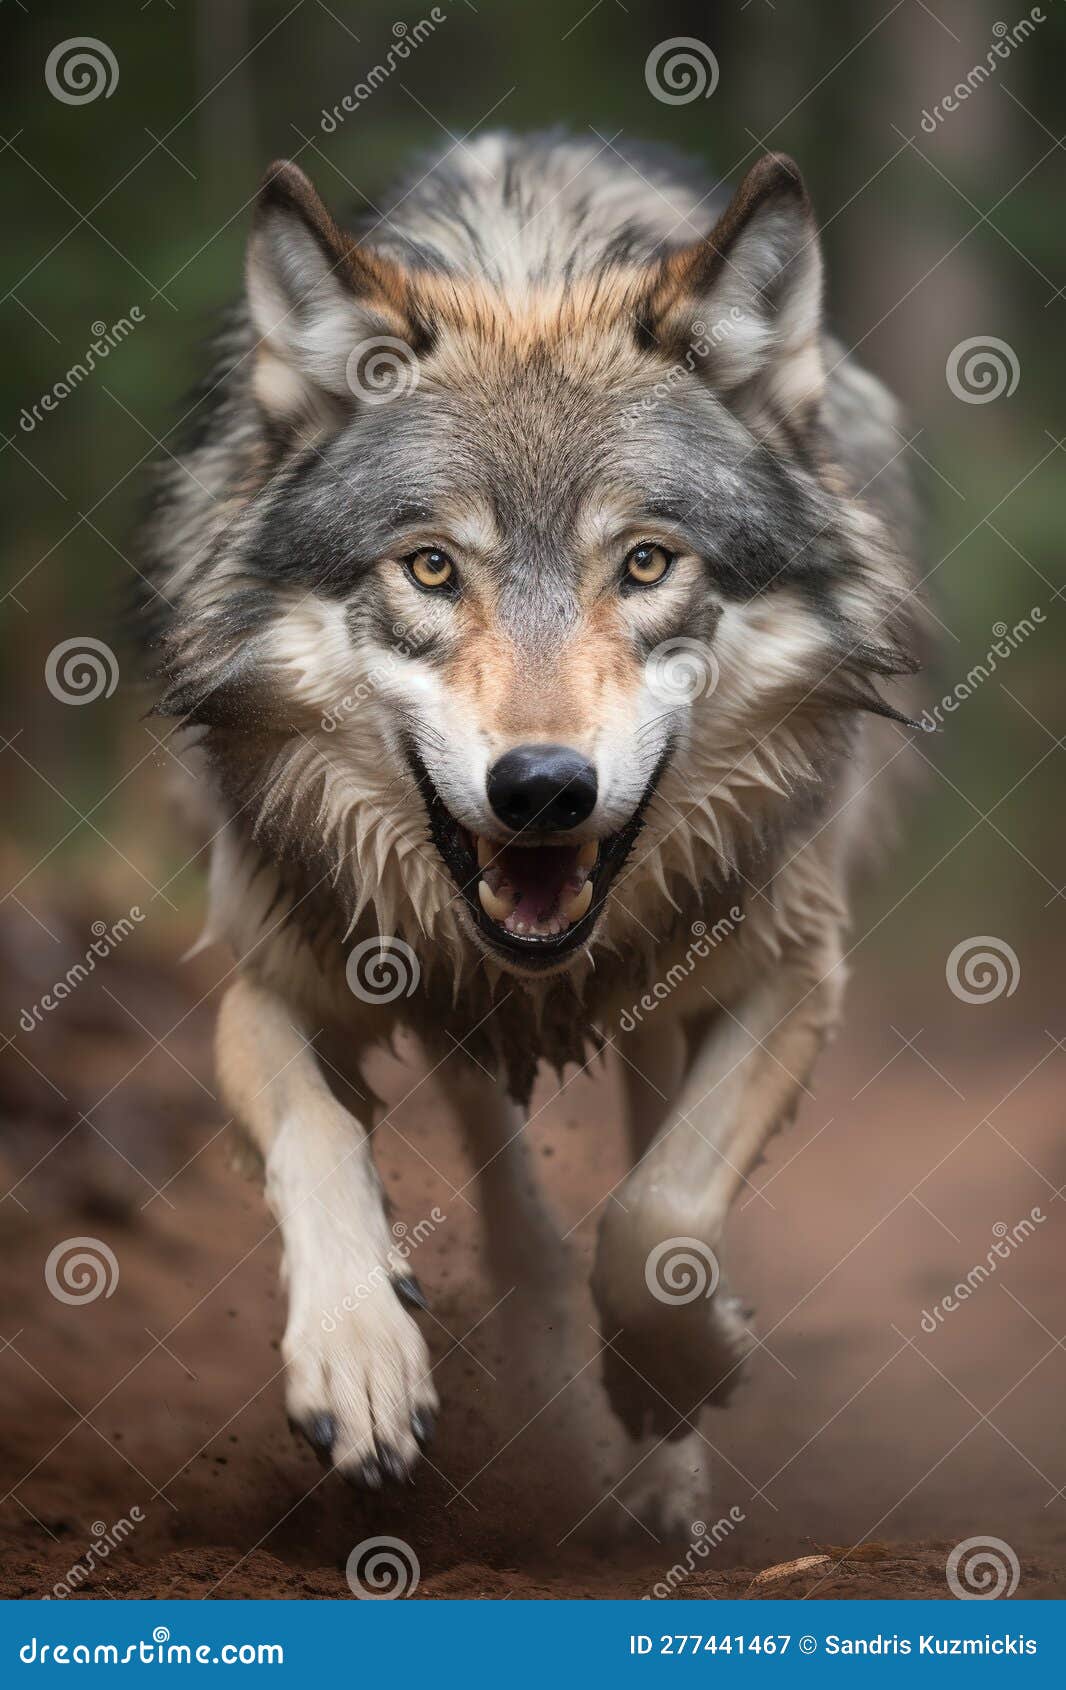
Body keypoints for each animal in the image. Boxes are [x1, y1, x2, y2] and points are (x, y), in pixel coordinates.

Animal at [135, 132, 921, 1509]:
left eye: (647, 563)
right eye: (432, 567)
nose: (542, 786)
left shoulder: (793, 963)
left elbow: (658, 1215)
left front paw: (679, 1373)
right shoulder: (272, 971)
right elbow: (317, 1137)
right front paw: (359, 1355)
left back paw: (657, 1466)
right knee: (505, 1183)